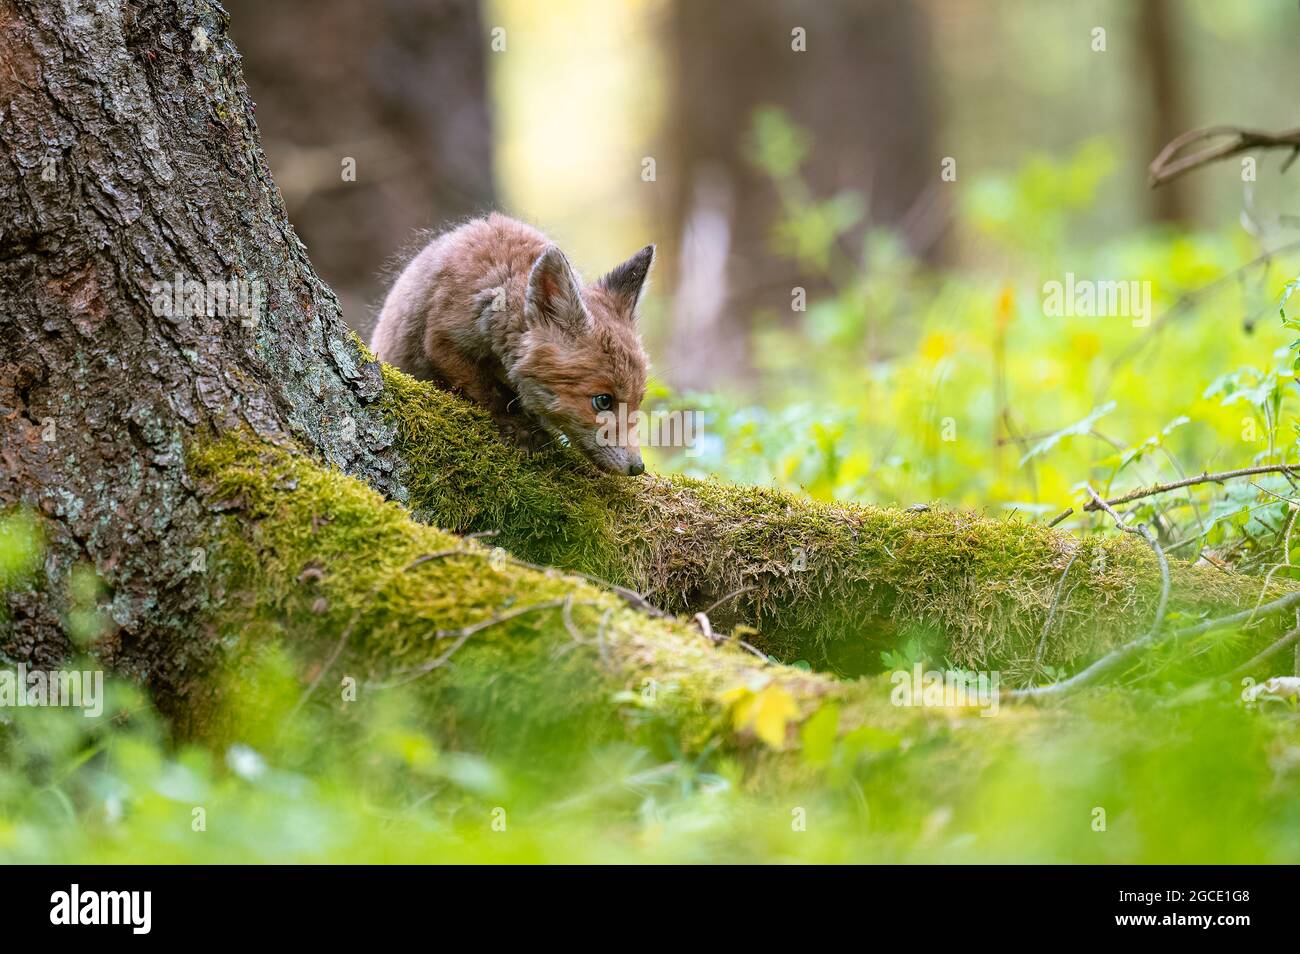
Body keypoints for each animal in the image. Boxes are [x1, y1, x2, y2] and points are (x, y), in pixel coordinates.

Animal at [371, 213, 654, 477]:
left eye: (638, 401)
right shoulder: (442, 340)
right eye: (603, 401)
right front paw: (522, 429)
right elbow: (488, 391)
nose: (637, 467)